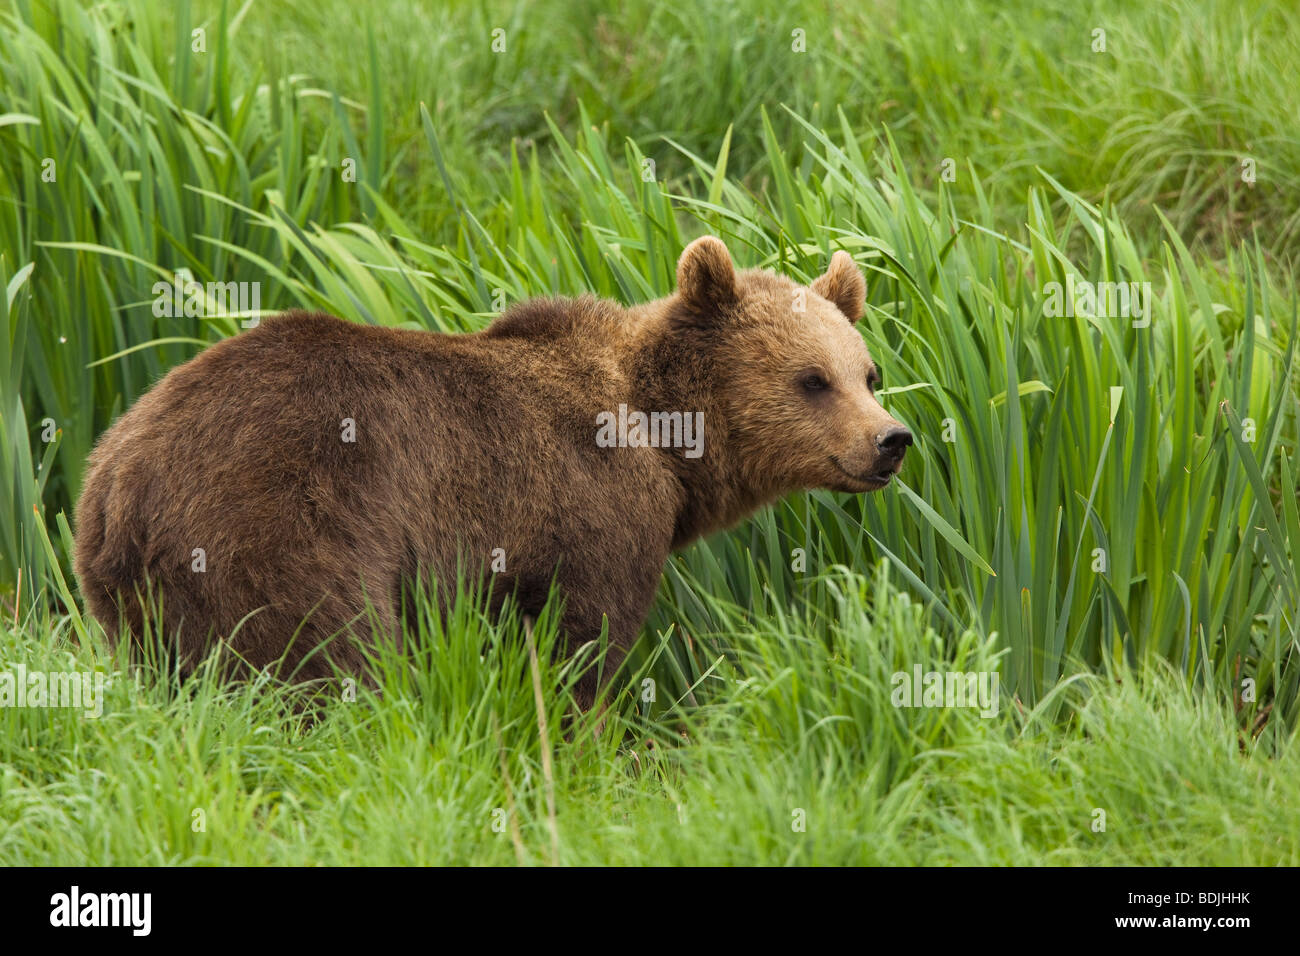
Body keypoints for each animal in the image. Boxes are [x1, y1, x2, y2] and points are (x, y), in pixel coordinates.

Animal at [73, 236, 912, 708]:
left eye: (868, 373)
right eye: (812, 379)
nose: (891, 440)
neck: (667, 440)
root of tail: (118, 474)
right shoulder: (591, 507)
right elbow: (584, 644)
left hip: (130, 594)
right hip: (280, 517)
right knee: (328, 653)